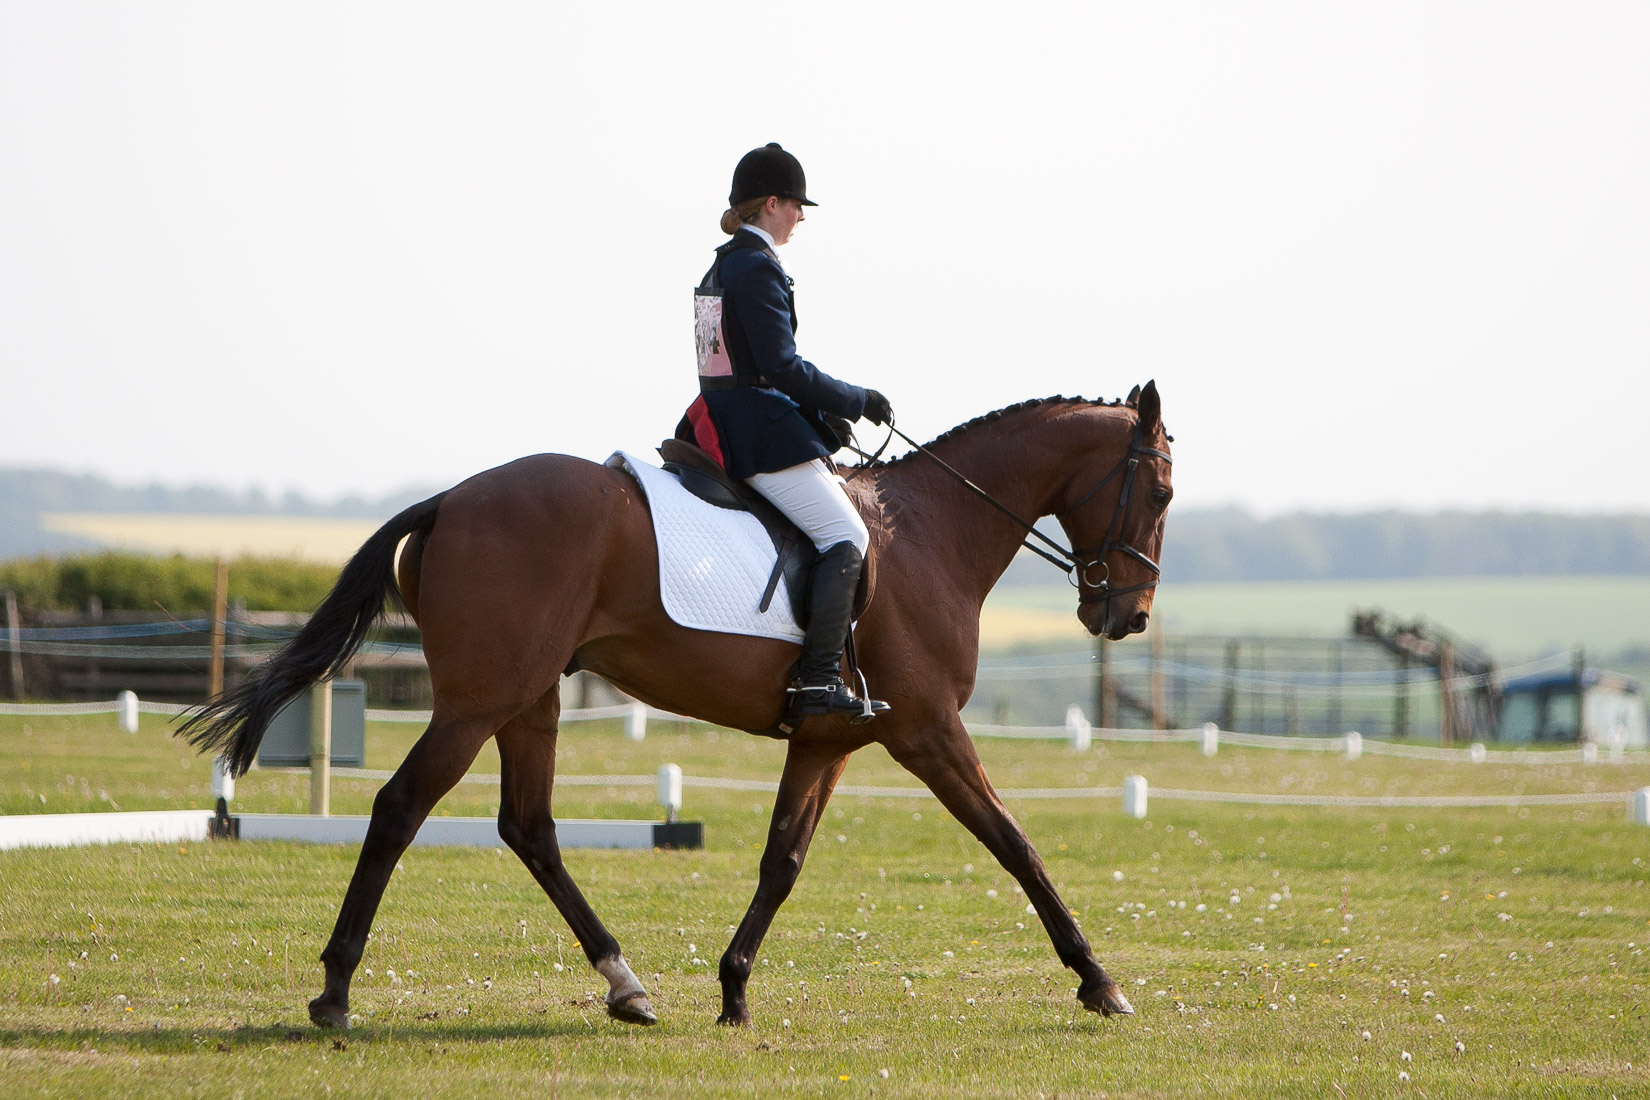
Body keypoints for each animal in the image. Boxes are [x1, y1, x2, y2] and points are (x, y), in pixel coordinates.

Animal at [180, 381, 1173, 1029]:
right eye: (1161, 489)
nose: (1127, 615)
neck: (931, 530)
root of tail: (453, 498)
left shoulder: (827, 740)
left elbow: (782, 861)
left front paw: (733, 990)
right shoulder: (928, 731)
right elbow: (1015, 842)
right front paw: (1099, 981)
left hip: (529, 700)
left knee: (529, 828)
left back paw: (626, 985)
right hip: (478, 701)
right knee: (399, 808)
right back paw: (335, 991)